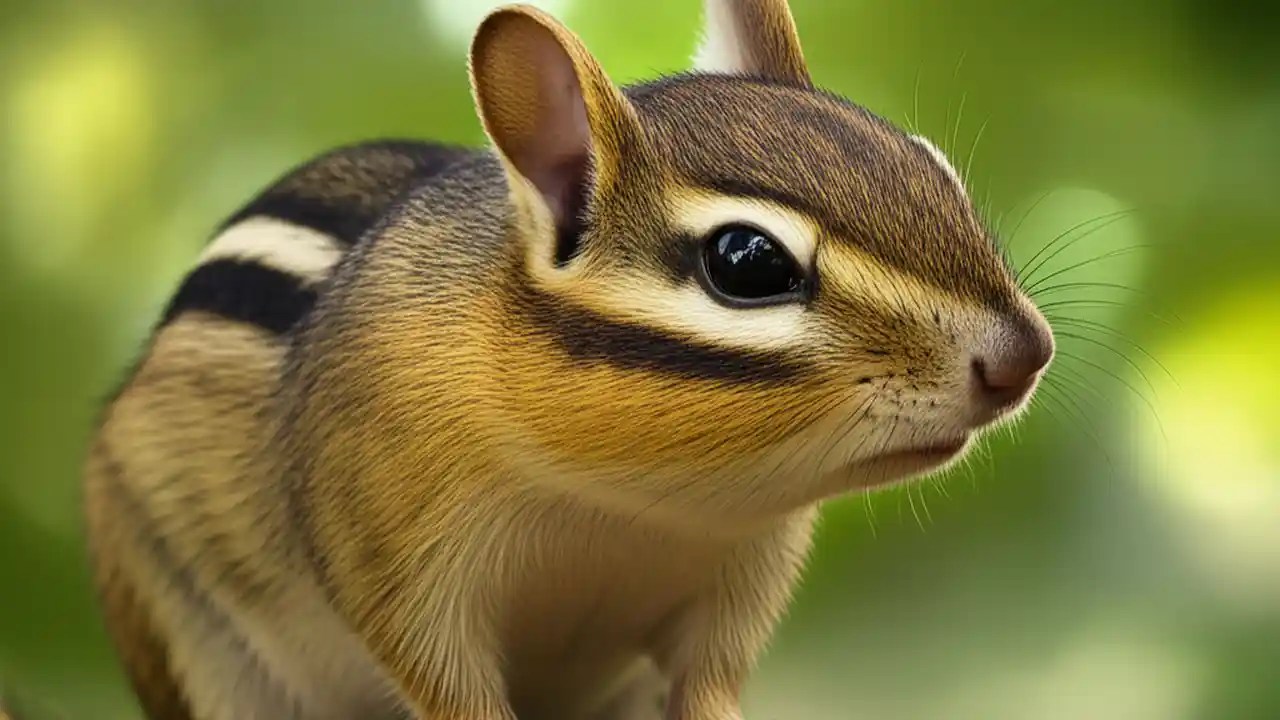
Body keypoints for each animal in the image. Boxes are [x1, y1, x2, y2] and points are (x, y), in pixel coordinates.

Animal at [81, 1, 1055, 719]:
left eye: (934, 170)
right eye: (748, 261)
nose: (1024, 356)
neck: (629, 502)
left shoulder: (734, 594)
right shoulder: (402, 579)